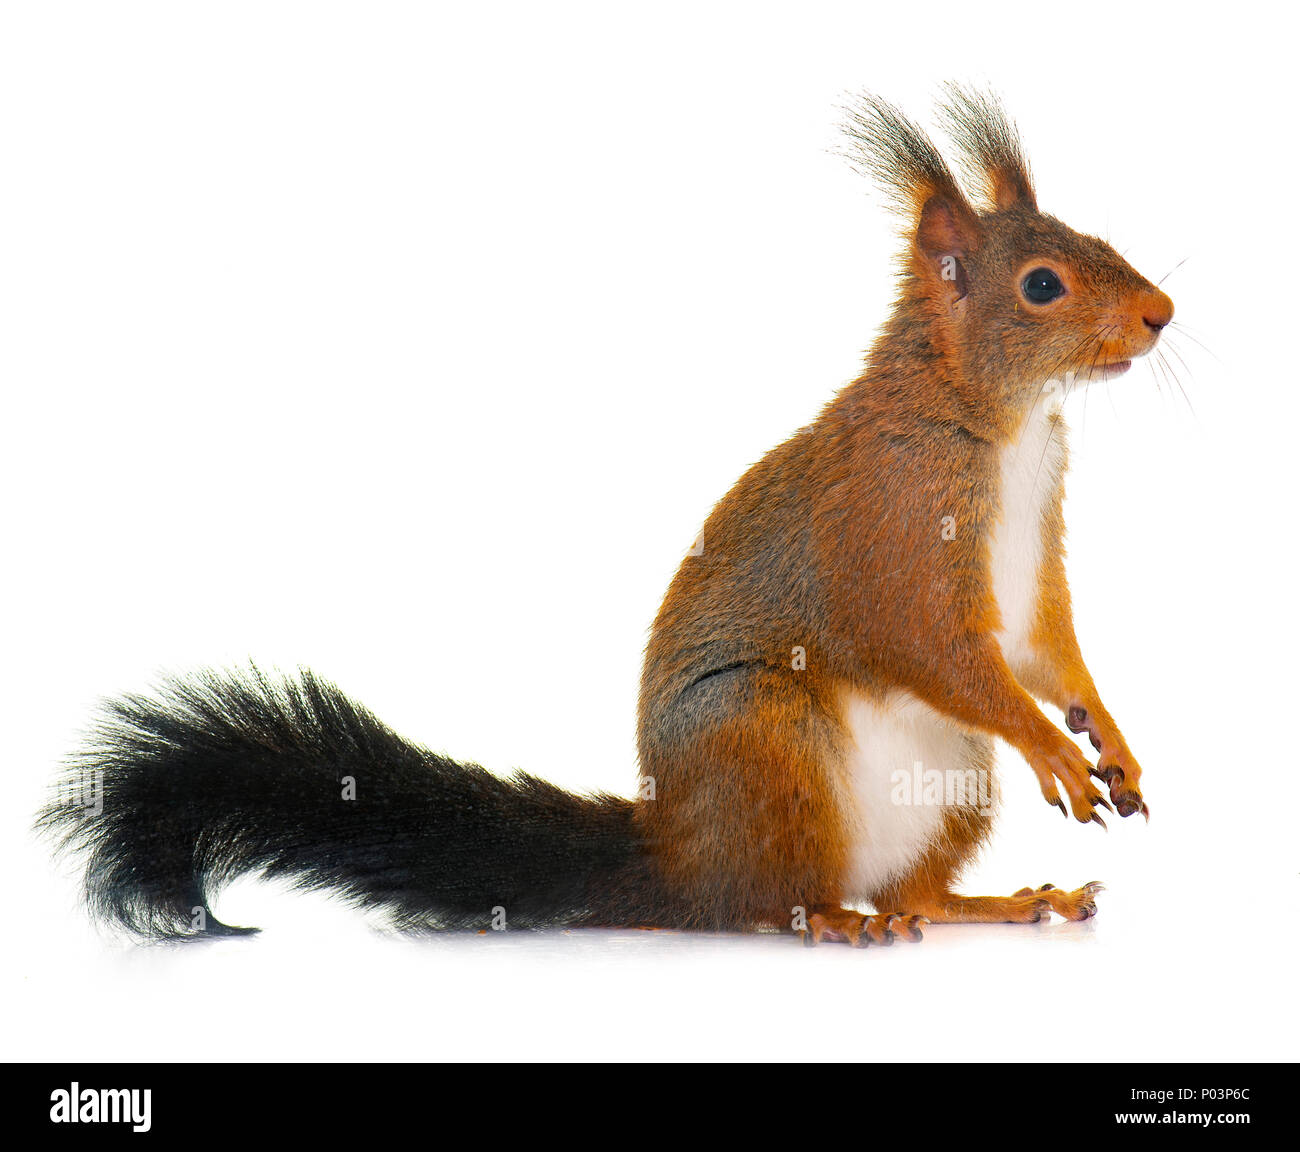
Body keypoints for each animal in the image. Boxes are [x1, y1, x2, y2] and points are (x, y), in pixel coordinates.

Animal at [38, 86, 1172, 947]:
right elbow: (938, 649)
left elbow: (1047, 648)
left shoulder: (1035, 546)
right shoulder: (892, 527)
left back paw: (997, 901)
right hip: (764, 738)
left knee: (914, 892)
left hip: (949, 780)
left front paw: (1104, 735)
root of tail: (679, 855)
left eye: (1098, 236)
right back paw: (825, 919)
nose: (1160, 314)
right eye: (1042, 284)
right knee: (760, 905)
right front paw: (1055, 749)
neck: (1002, 424)